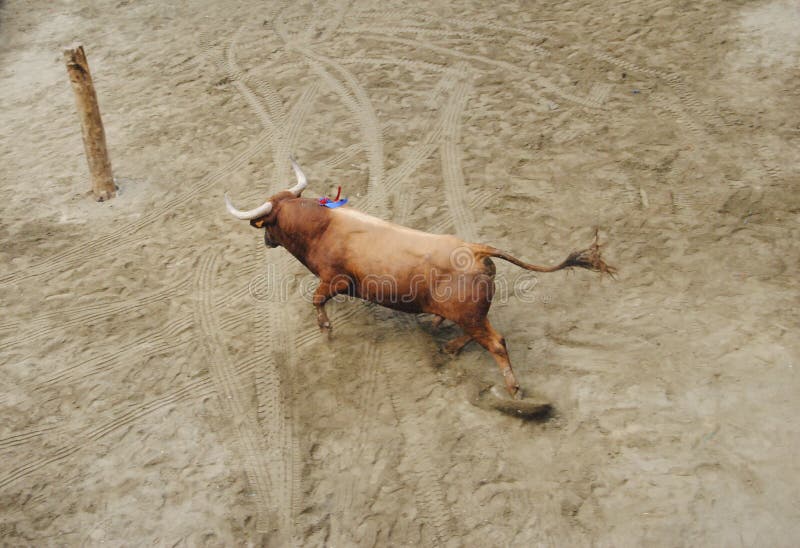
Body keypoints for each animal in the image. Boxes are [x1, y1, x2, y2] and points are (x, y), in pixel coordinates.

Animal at [226, 158, 614, 400]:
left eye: (269, 223)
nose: (265, 239)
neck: (322, 226)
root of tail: (475, 249)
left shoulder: (336, 280)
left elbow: (317, 299)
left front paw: (325, 329)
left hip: (471, 315)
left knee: (496, 343)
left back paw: (513, 390)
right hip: (471, 315)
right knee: (481, 335)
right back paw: (447, 340)